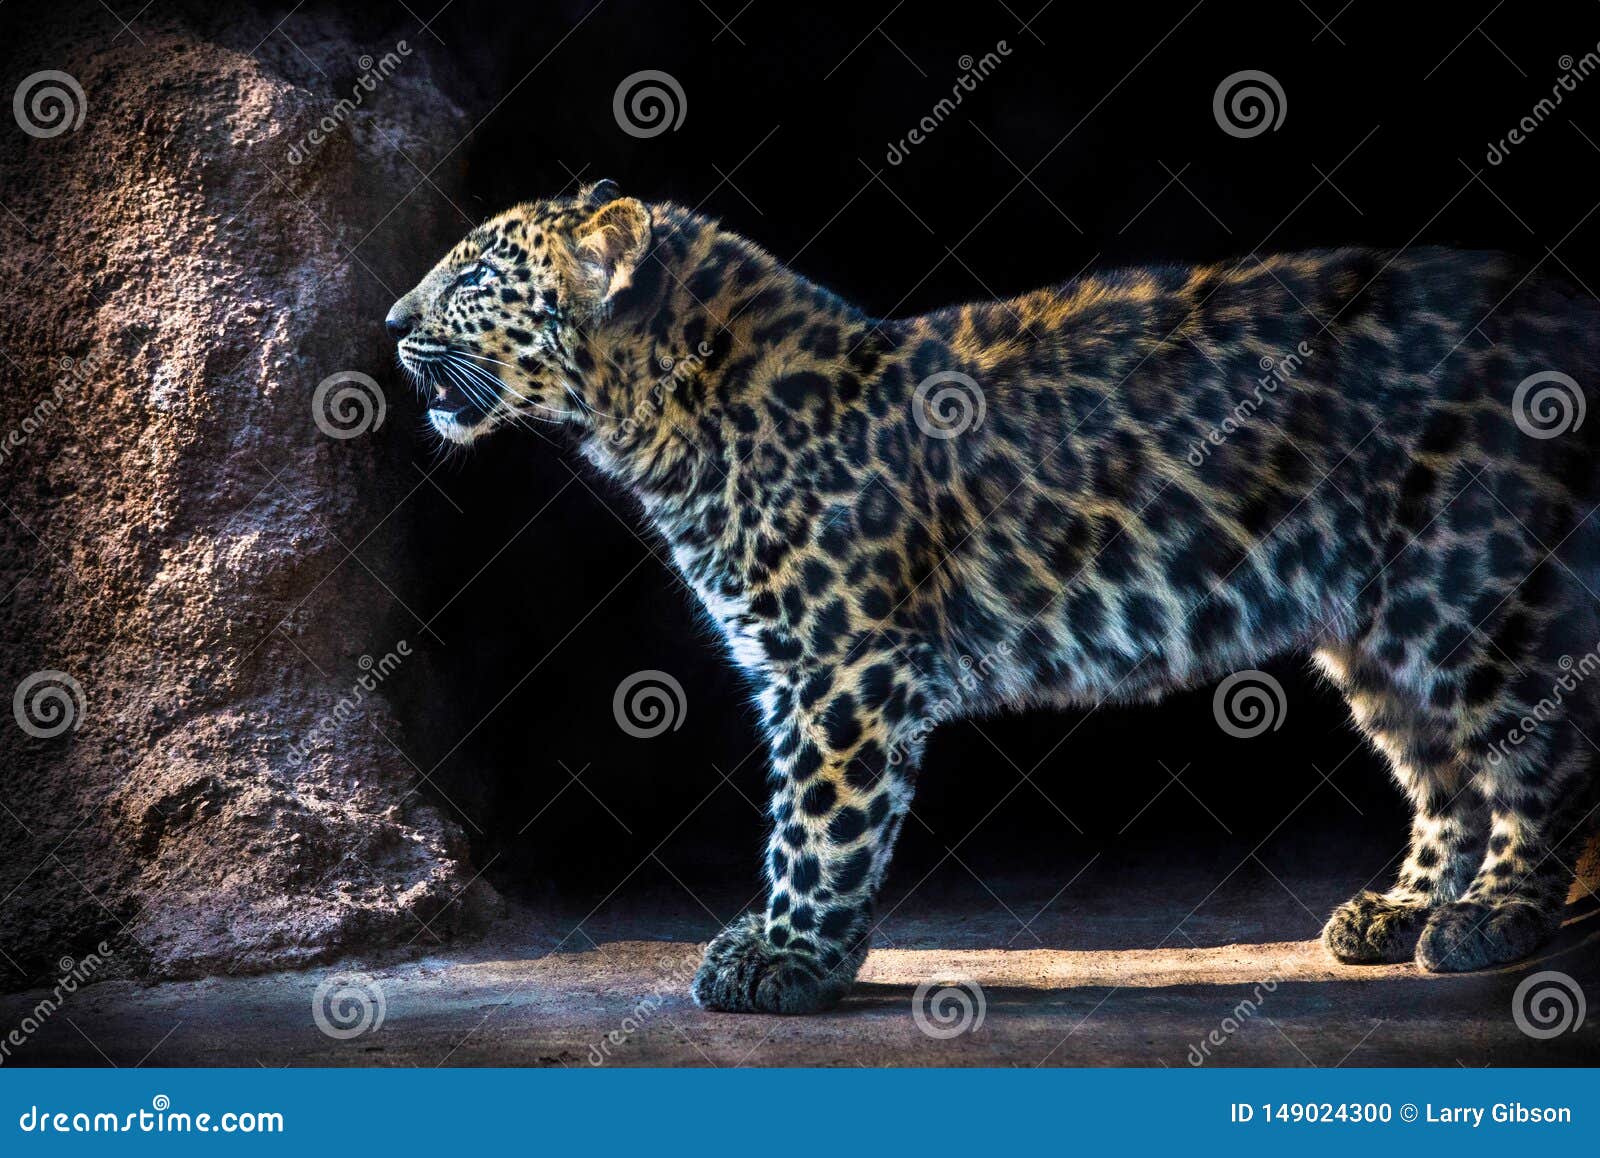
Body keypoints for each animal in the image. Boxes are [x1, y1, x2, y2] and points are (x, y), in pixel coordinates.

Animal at [386, 179, 1600, 1014]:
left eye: (472, 277)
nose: (392, 324)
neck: (667, 421)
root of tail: (1562, 303)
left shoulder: (845, 669)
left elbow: (820, 822)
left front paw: (790, 956)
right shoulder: (791, 674)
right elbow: (799, 822)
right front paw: (786, 944)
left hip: (1468, 581)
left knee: (1542, 752)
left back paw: (1497, 914)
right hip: (1379, 618)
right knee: (1441, 770)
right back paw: (1407, 908)